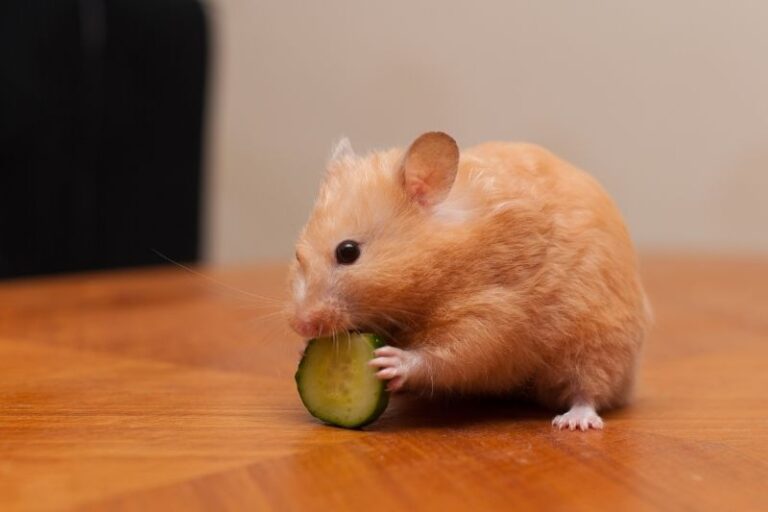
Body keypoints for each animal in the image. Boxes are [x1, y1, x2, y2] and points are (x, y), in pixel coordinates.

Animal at [288, 132, 650, 431]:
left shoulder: (492, 310)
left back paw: (574, 422)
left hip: (599, 342)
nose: (300, 326)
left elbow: (452, 353)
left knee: (589, 388)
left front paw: (389, 362)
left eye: (348, 252)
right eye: (297, 254)